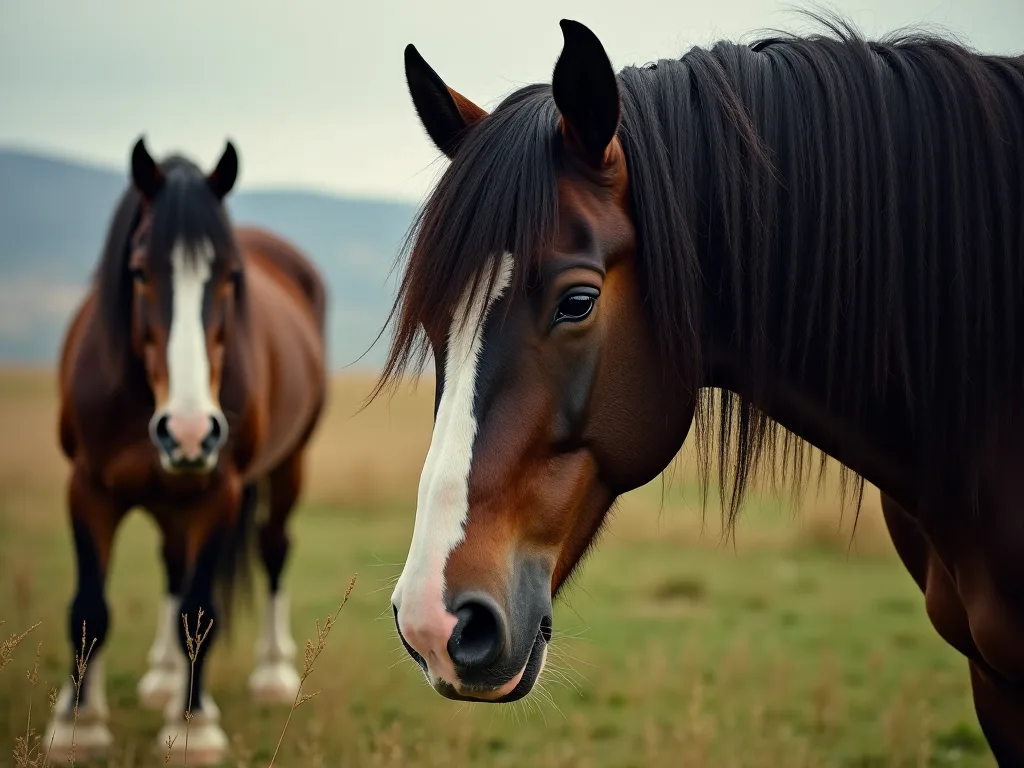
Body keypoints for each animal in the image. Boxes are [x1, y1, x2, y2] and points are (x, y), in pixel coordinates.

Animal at [44, 137, 328, 764]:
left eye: (230, 276)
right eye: (139, 272)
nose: (192, 432)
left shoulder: (218, 492)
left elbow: (200, 609)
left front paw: (194, 726)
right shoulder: (86, 487)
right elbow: (88, 607)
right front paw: (78, 724)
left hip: (288, 465)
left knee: (274, 549)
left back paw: (271, 673)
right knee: (173, 565)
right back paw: (164, 674)